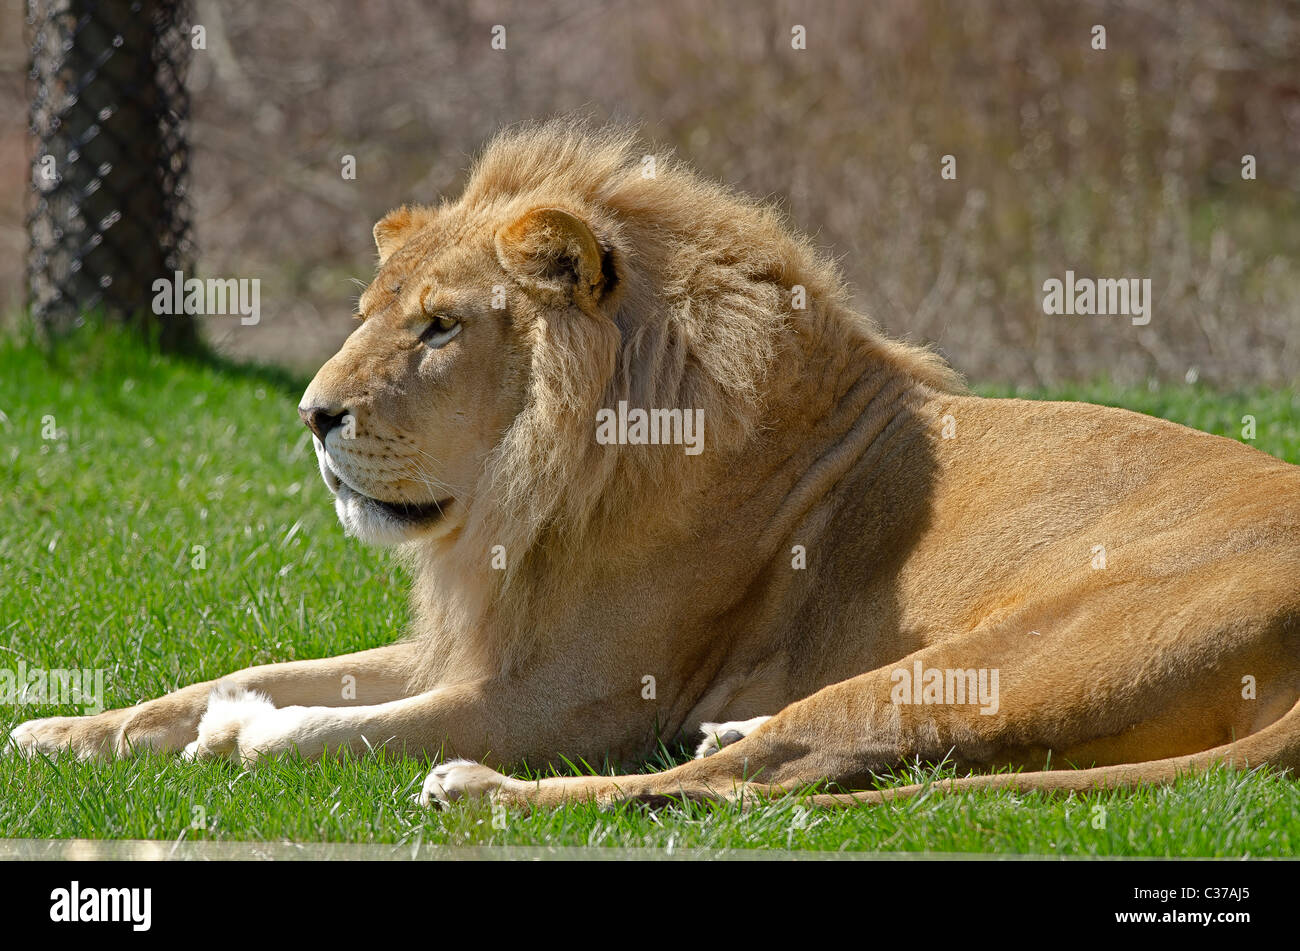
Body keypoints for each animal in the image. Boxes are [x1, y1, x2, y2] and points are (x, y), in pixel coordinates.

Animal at [10, 119, 1300, 811]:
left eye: (439, 328)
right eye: (373, 314)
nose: (312, 414)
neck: (532, 494)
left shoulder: (565, 695)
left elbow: (365, 728)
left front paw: (248, 737)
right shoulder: (472, 638)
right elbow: (244, 674)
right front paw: (63, 732)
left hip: (999, 656)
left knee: (749, 781)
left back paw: (485, 792)